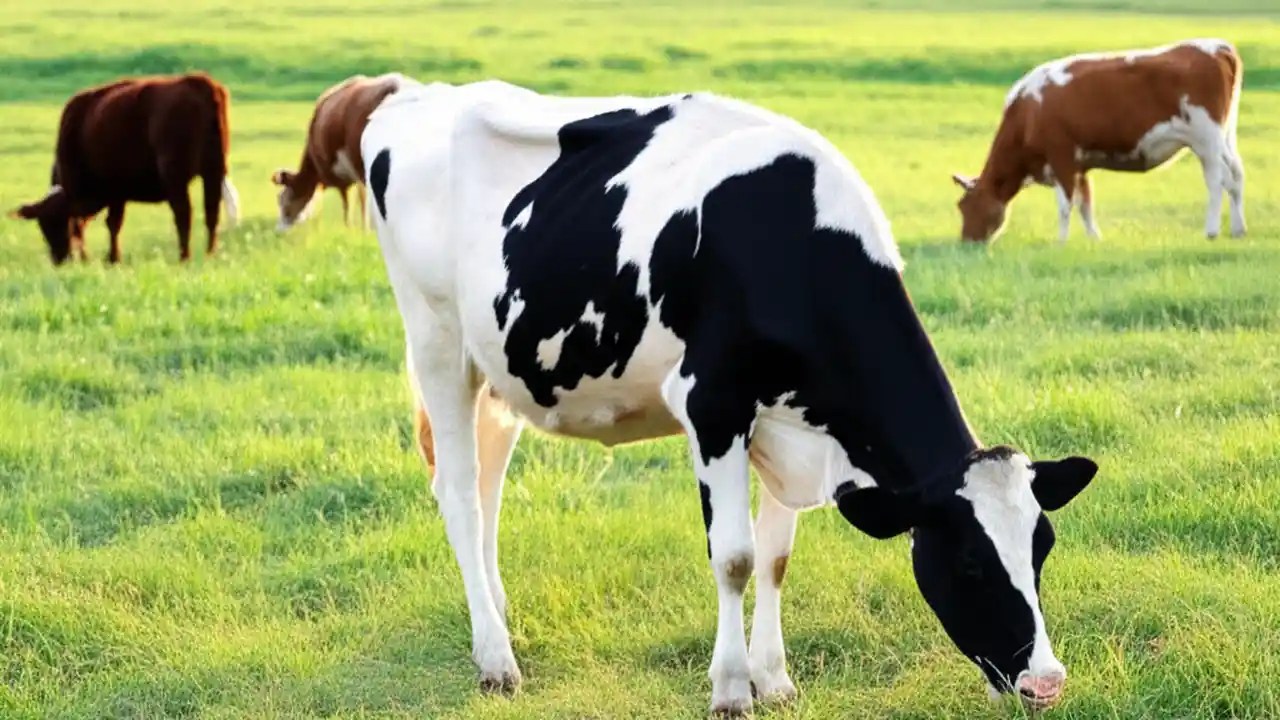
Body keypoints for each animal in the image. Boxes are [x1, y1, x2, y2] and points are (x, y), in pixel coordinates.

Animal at [10, 73, 239, 265]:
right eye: (42, 226)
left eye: (55, 223)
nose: (60, 260)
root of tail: (200, 81)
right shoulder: (118, 192)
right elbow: (108, 223)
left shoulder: (112, 190)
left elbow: (106, 224)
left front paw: (110, 258)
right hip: (213, 171)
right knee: (211, 213)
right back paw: (209, 254)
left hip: (175, 175)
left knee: (184, 214)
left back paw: (184, 257)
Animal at [363, 80, 1100, 715]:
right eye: (970, 561)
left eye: (1042, 545)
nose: (1046, 682)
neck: (789, 244)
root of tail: (416, 98)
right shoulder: (712, 403)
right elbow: (736, 557)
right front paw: (731, 690)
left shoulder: (790, 422)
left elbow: (775, 558)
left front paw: (775, 681)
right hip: (437, 342)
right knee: (459, 494)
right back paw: (496, 661)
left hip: (500, 375)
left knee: (487, 489)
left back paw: (496, 618)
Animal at [952, 38, 1245, 243]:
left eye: (965, 206)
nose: (967, 242)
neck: (1028, 111)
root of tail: (1217, 46)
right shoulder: (1079, 165)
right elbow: (1085, 204)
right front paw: (1095, 239)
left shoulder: (1061, 158)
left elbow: (1066, 205)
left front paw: (1060, 242)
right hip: (1224, 140)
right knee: (1235, 176)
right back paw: (1238, 229)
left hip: (1206, 141)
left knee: (1216, 182)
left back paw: (1211, 231)